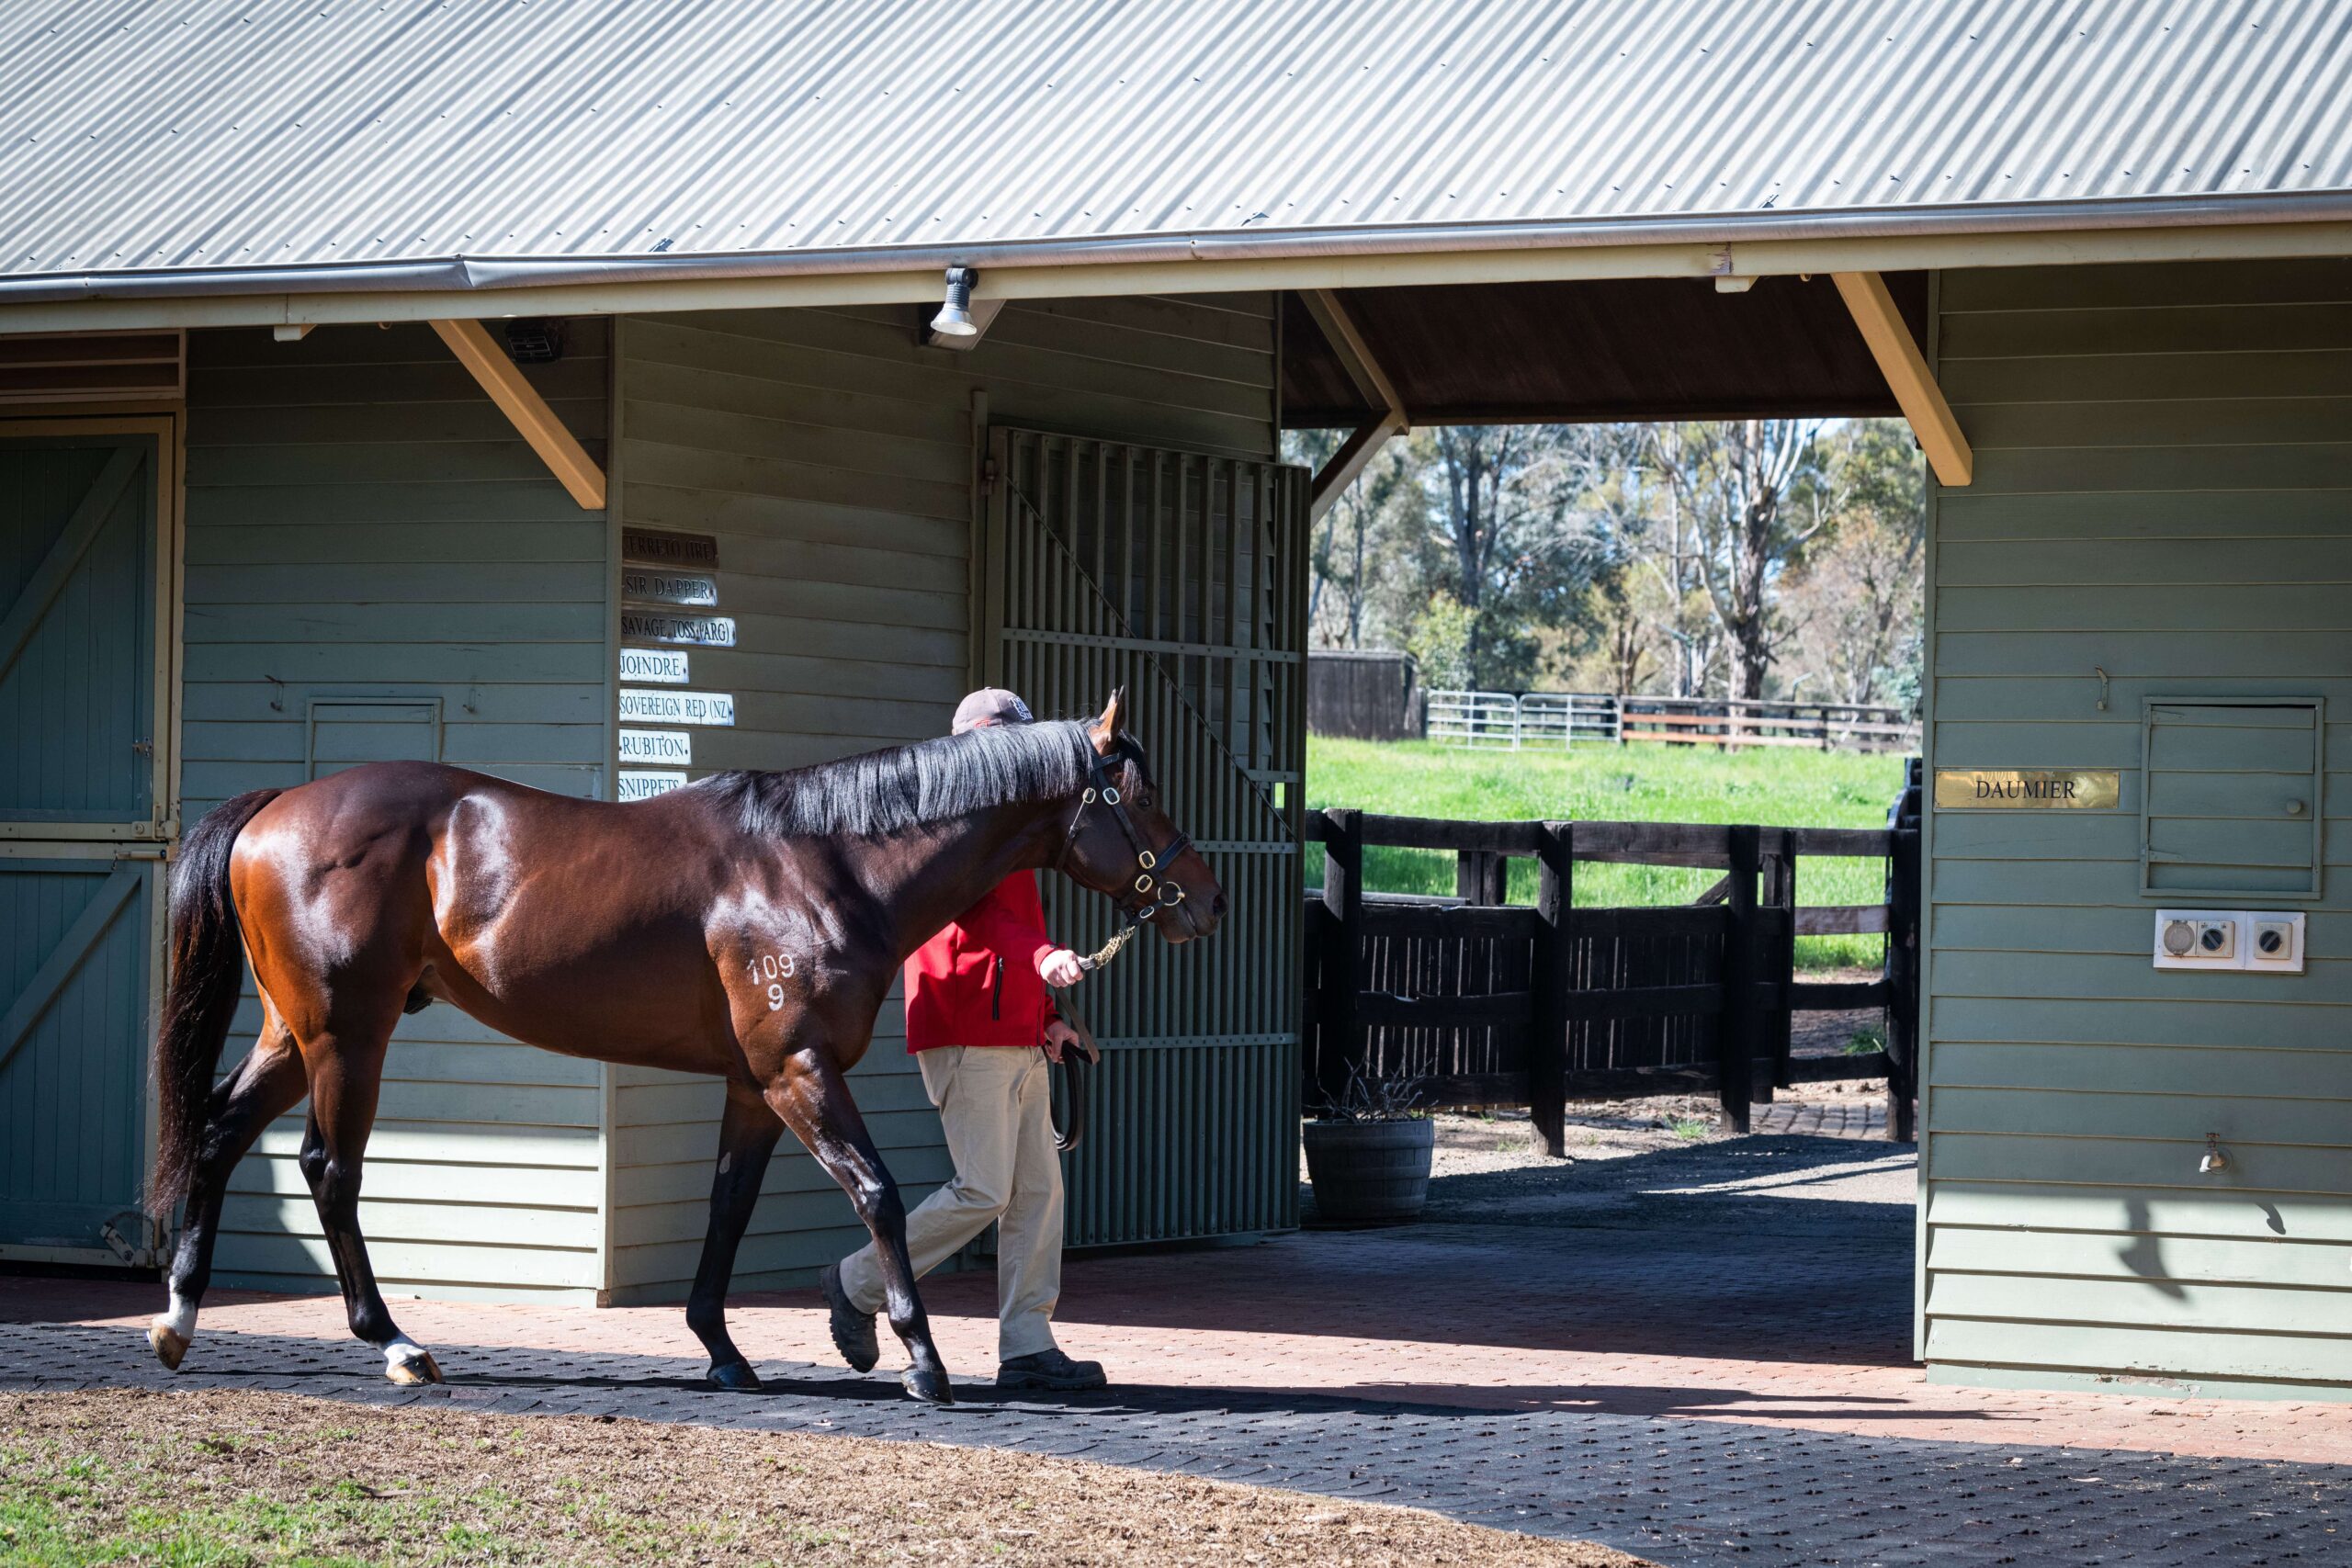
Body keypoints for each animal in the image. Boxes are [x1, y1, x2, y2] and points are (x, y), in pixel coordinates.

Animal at [144, 690, 1221, 1404]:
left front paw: (724, 1349)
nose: (1206, 901)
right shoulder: (798, 1069)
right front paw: (917, 1357)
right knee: (329, 1169)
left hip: (295, 1034)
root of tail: (276, 809)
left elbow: (728, 1209)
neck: (824, 861)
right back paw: (396, 1344)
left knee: (218, 1131)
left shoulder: (754, 1083)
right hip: (346, 1035)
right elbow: (875, 1190)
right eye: (1140, 794)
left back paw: (179, 1317)